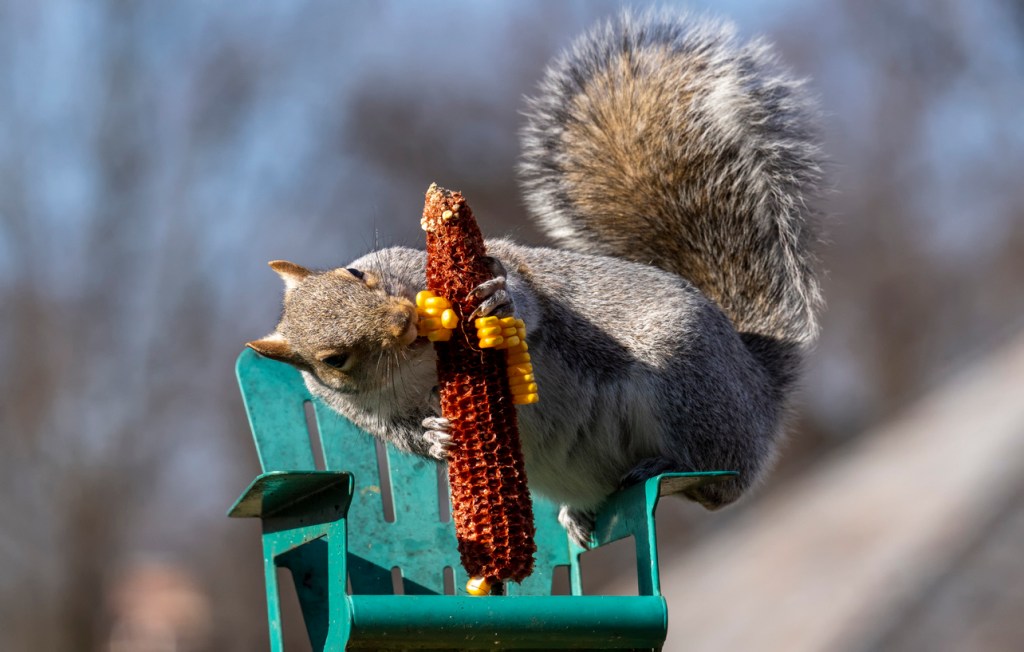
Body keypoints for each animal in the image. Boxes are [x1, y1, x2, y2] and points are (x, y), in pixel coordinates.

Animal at [247, 11, 822, 546]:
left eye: (358, 271)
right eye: (333, 360)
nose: (404, 321)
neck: (417, 361)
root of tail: (759, 390)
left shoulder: (497, 263)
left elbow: (526, 293)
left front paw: (498, 304)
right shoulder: (360, 410)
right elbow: (399, 433)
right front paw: (432, 436)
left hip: (686, 379)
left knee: (721, 481)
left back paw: (673, 467)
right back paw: (579, 515)